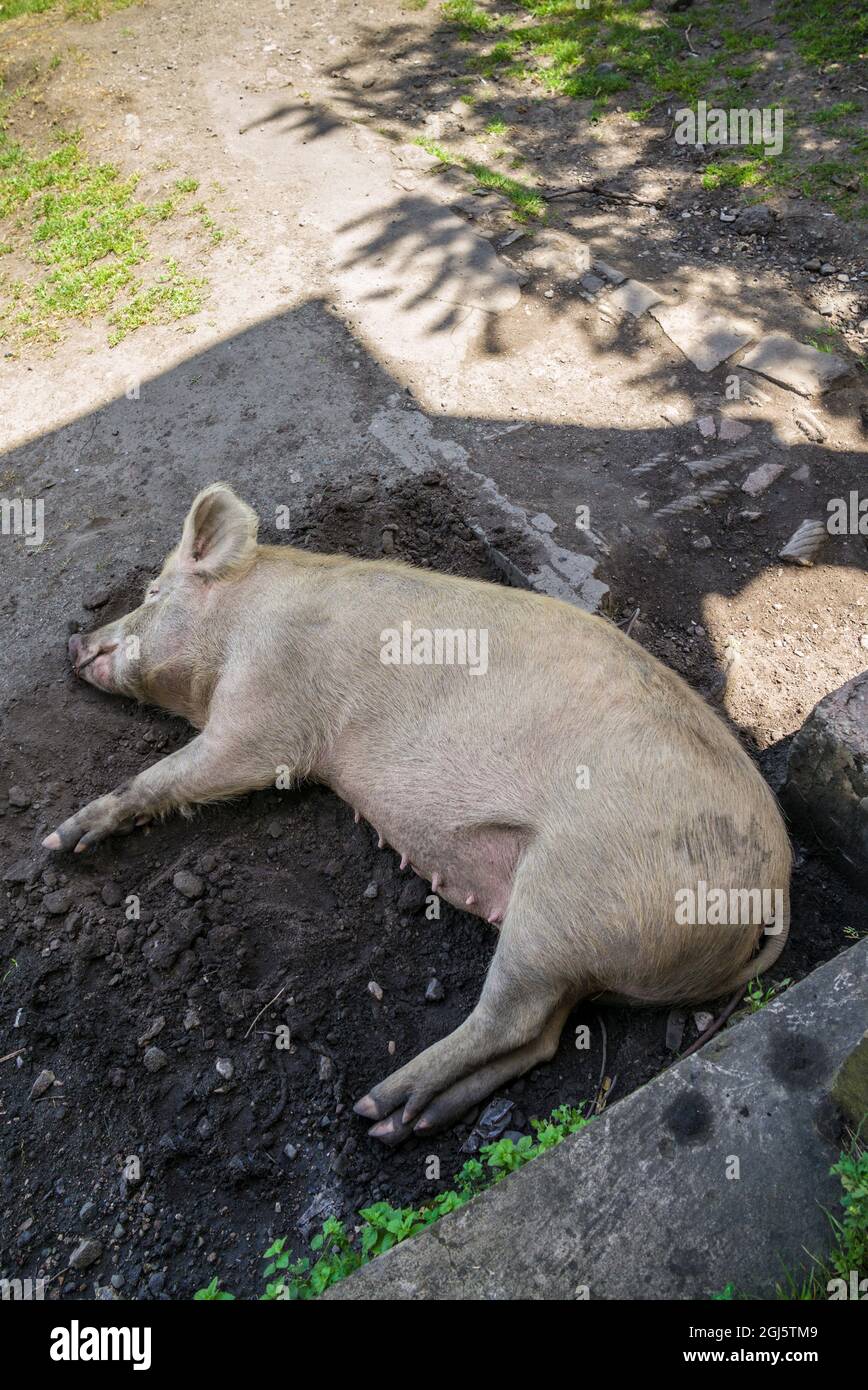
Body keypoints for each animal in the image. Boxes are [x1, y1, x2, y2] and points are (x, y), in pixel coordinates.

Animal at [45, 483, 791, 1143]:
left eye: (152, 592)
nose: (73, 643)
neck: (244, 617)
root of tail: (772, 892)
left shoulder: (268, 714)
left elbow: (174, 774)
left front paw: (59, 840)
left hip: (572, 896)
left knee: (513, 1019)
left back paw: (375, 1108)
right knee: (543, 1038)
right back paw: (411, 1122)